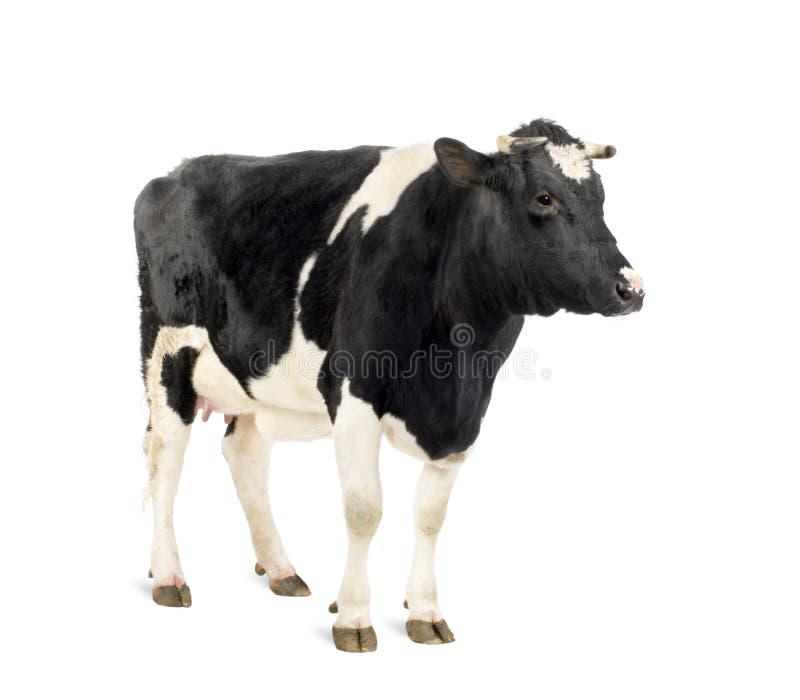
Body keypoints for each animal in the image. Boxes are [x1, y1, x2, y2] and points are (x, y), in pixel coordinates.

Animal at [134, 118, 644, 653]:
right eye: (544, 198)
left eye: (601, 197)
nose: (630, 289)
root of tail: (176, 173)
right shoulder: (355, 389)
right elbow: (364, 509)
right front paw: (353, 616)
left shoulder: (466, 410)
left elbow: (430, 514)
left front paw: (424, 611)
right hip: (166, 352)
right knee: (165, 459)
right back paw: (169, 576)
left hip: (253, 376)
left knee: (244, 455)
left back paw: (280, 570)